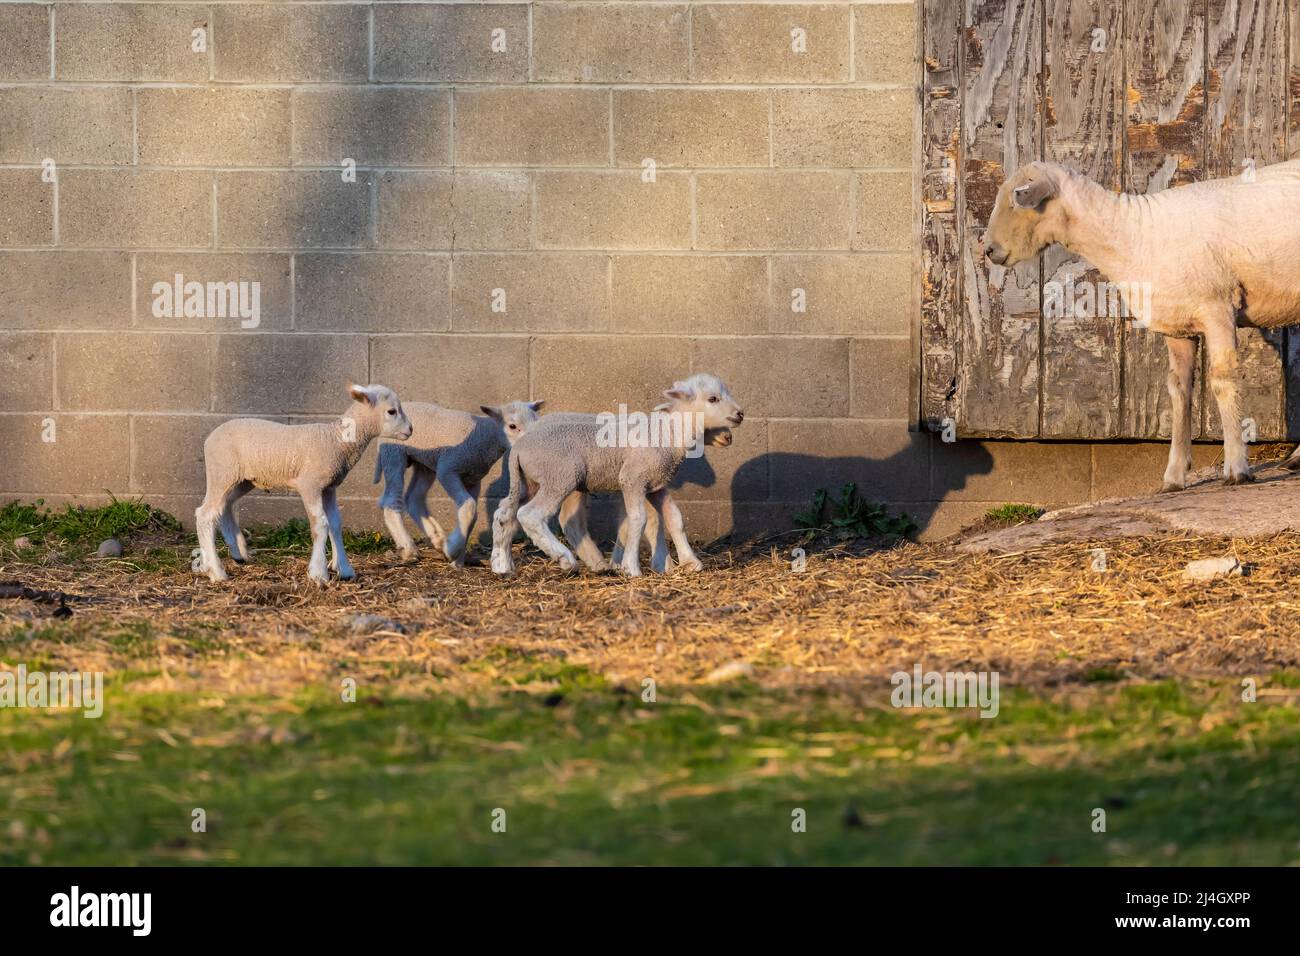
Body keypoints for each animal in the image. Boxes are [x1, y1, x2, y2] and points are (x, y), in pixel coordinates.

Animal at [195, 384, 412, 585]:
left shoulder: (329, 487)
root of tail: (209, 438)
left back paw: (236, 554)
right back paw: (216, 572)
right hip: (222, 472)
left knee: (224, 506)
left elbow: (335, 523)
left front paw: (344, 569)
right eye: (392, 411)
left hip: (242, 479)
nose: (410, 429)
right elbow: (320, 524)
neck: (337, 440)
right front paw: (319, 573)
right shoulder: (310, 484)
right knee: (205, 514)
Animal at [374, 399, 543, 565]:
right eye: (512, 426)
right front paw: (453, 550)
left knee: (414, 498)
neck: (484, 436)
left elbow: (472, 516)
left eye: (536, 421)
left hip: (425, 464)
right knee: (391, 500)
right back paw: (408, 549)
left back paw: (437, 539)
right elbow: (469, 507)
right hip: (394, 453)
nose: (533, 447)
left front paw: (458, 562)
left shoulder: (473, 479)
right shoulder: (448, 469)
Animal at [490, 374, 744, 577]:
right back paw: (566, 559)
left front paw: (690, 563)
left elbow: (674, 519)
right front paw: (631, 567)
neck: (668, 433)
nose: (740, 414)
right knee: (530, 515)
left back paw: (502, 566)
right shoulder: (632, 479)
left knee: (504, 513)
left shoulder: (655, 484)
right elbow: (638, 520)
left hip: (528, 481)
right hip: (560, 475)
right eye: (713, 399)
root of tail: (520, 445)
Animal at [982, 159, 1300, 490]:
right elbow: (1179, 390)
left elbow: (1223, 381)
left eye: (1015, 202)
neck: (1131, 235)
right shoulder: (1177, 325)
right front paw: (1174, 475)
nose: (987, 250)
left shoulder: (1217, 308)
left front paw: (1237, 467)